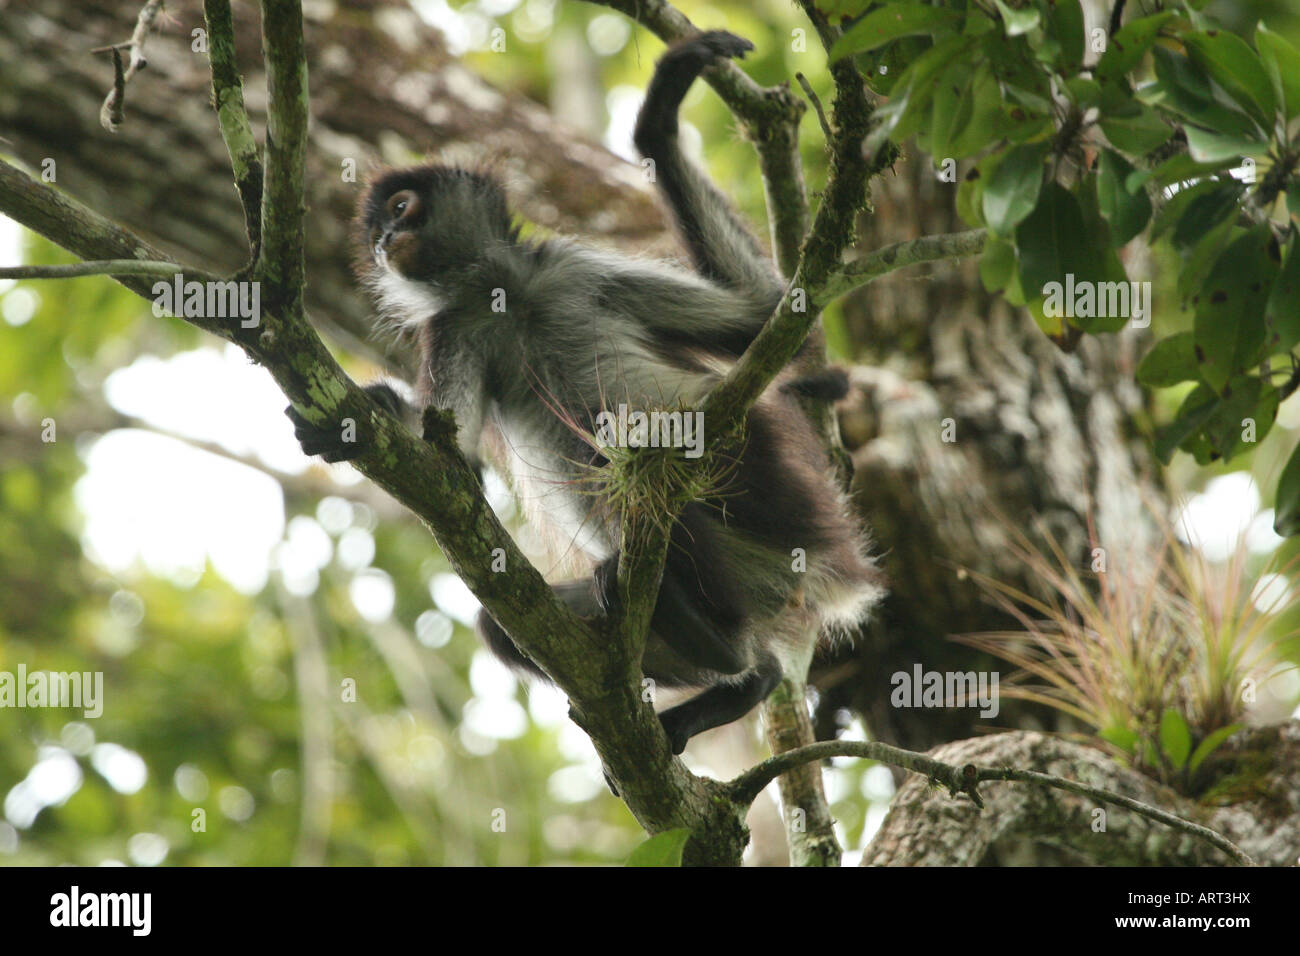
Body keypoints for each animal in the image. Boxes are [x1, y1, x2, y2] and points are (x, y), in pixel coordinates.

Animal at [289, 30, 884, 754]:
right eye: (375, 233)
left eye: (400, 210)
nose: (382, 242)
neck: (505, 296)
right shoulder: (453, 327)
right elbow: (453, 466)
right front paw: (365, 418)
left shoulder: (569, 268)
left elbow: (763, 311)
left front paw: (659, 117)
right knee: (508, 625)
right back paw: (742, 679)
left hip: (766, 524)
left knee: (655, 485)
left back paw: (717, 642)